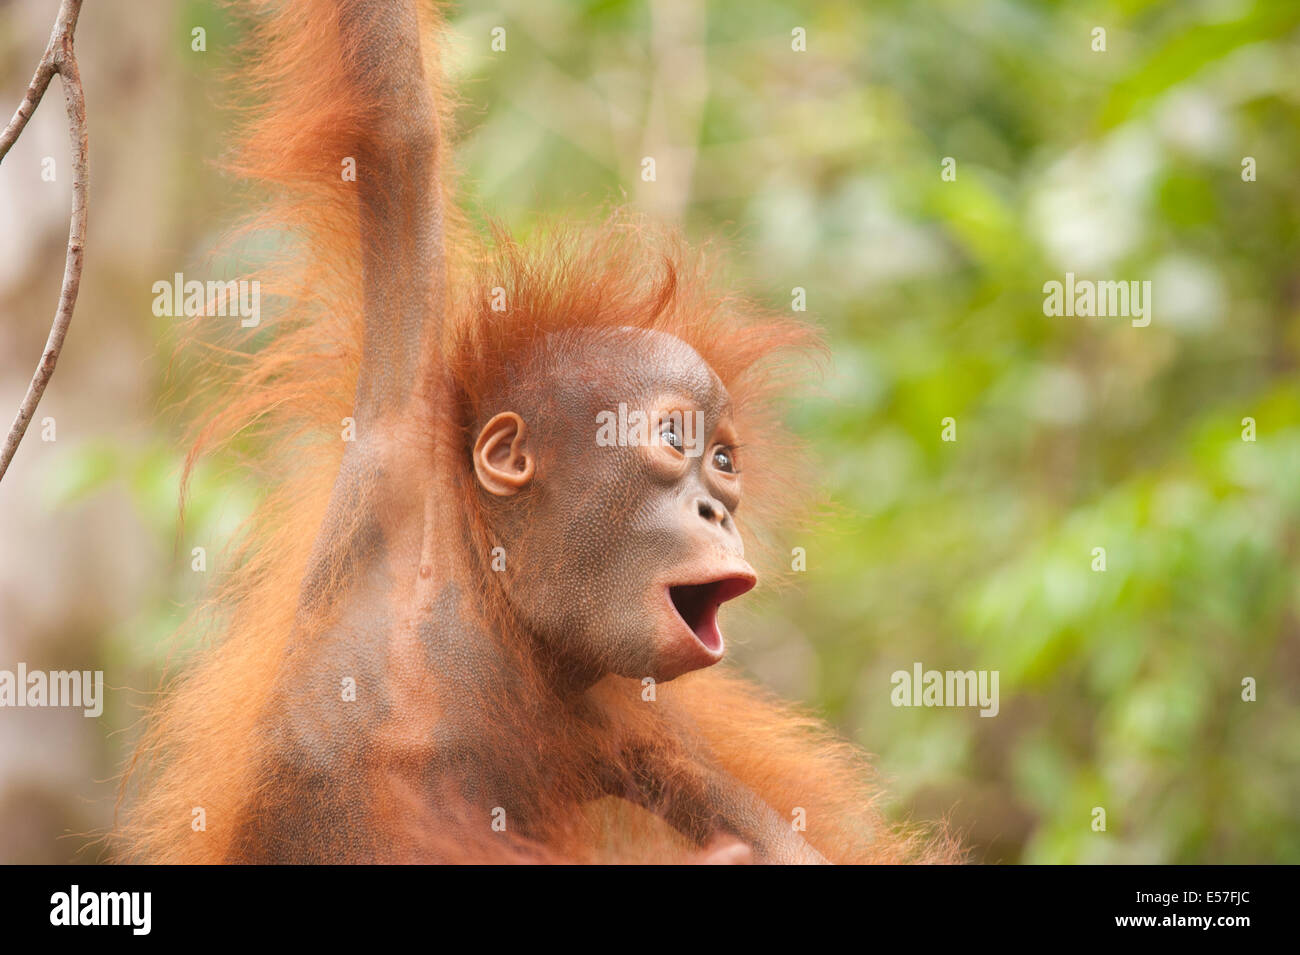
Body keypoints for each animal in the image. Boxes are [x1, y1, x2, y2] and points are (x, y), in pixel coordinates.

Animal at [117, 0, 961, 864]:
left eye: (724, 461)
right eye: (674, 443)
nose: (718, 511)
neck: (496, 599)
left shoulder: (619, 722)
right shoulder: (403, 448)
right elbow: (398, 129)